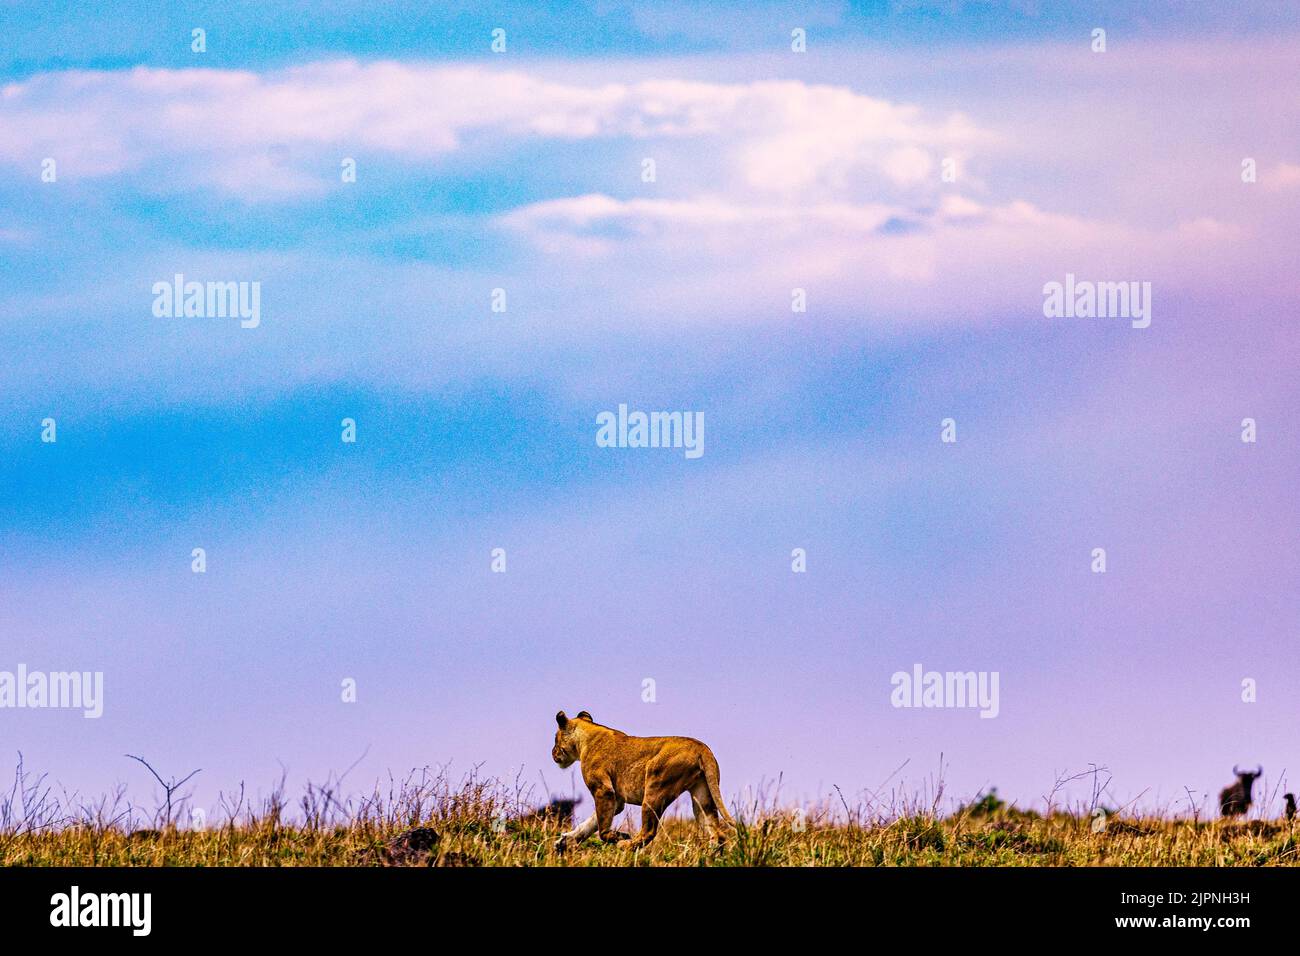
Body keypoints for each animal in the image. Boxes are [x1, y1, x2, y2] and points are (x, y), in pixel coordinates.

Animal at [551, 710, 734, 851]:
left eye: (555, 739)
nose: (552, 753)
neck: (586, 737)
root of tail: (702, 748)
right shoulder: (616, 799)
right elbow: (591, 822)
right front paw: (565, 840)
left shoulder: (604, 790)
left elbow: (601, 827)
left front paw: (618, 836)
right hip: (702, 795)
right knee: (717, 834)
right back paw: (710, 856)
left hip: (655, 787)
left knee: (649, 831)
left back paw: (626, 844)